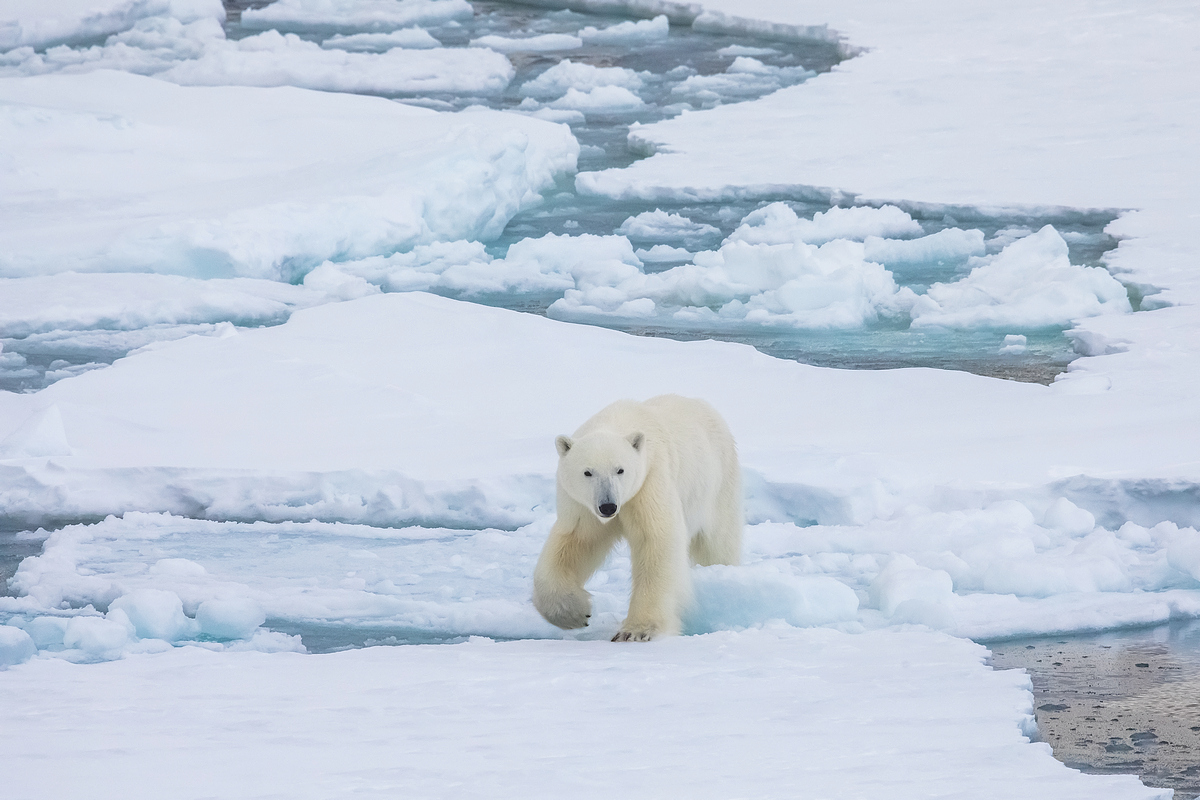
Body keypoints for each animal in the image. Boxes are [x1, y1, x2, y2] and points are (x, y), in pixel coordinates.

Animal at [535, 395, 739, 642]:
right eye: (587, 472)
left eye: (620, 470)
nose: (608, 506)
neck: (618, 421)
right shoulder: (582, 505)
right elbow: (576, 541)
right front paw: (573, 613)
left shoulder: (649, 479)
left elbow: (656, 539)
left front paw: (636, 631)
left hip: (718, 484)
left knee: (719, 542)